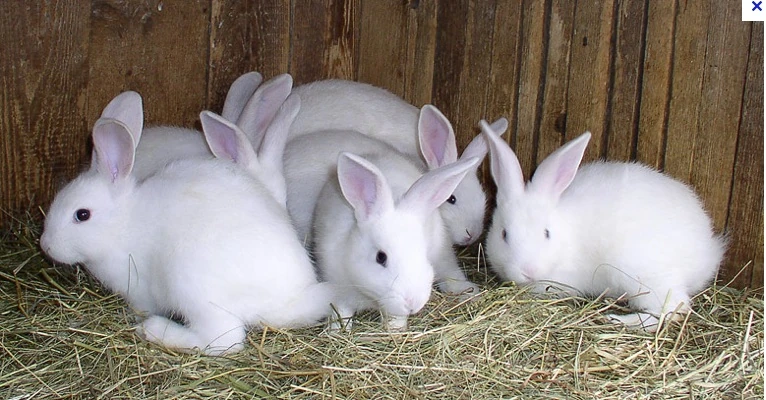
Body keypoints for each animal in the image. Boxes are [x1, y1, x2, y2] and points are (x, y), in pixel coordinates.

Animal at [39, 91, 333, 355]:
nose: (46, 245)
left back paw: (154, 330)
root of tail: (291, 299)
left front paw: (135, 318)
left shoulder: (140, 290)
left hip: (193, 287)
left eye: (82, 215)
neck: (122, 224)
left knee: (224, 340)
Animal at [312, 150, 480, 331]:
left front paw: (395, 330)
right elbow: (341, 313)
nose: (413, 303)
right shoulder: (339, 290)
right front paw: (336, 331)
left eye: (424, 255)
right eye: (380, 257)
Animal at [480, 120, 726, 331]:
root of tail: (708, 252)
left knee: (673, 307)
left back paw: (619, 320)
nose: (528, 271)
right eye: (504, 234)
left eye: (546, 233)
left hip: (639, 272)